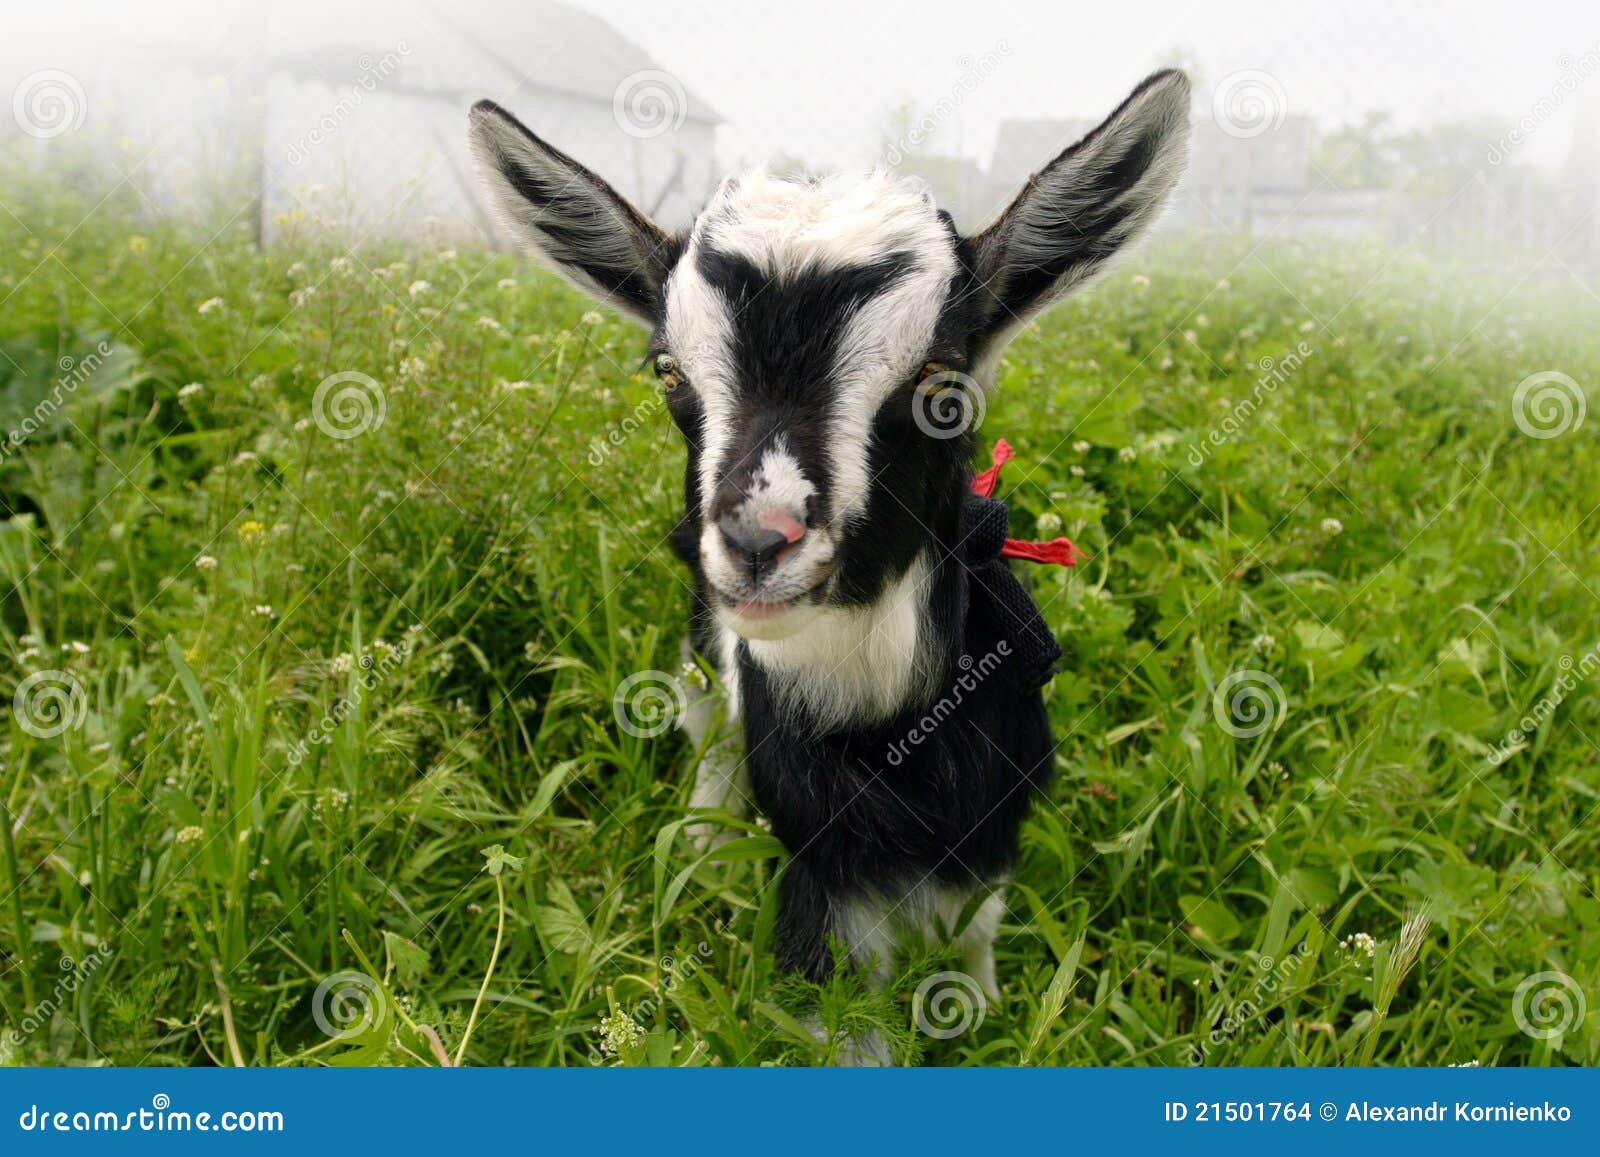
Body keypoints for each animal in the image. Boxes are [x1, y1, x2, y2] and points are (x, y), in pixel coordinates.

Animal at [469, 69, 1190, 1040]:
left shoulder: (987, 831)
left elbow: (972, 948)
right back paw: (707, 856)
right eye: (668, 372)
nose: (757, 541)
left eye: (943, 385)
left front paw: (983, 1009)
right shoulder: (827, 871)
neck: (887, 730)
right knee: (707, 729)